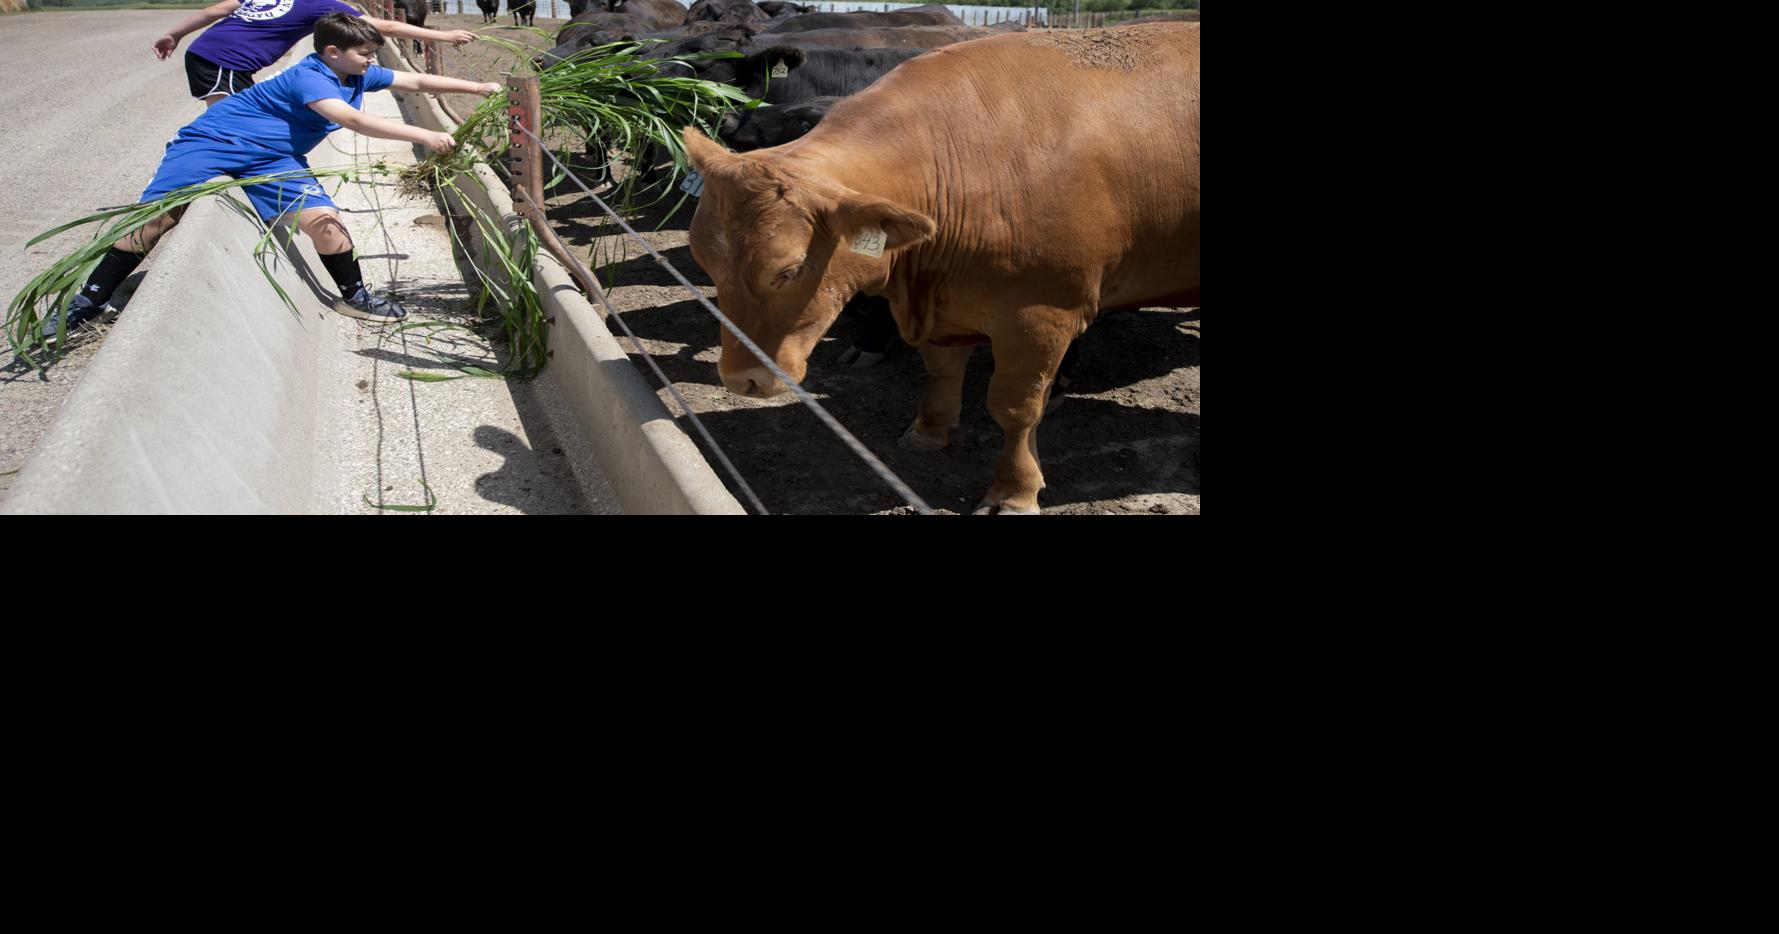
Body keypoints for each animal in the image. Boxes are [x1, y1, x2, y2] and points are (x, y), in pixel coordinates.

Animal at [681, 24, 1201, 514]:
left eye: (787, 271)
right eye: (707, 263)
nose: (740, 379)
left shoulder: (1041, 315)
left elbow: (1015, 408)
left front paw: (1015, 490)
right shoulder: (945, 302)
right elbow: (941, 370)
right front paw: (929, 429)